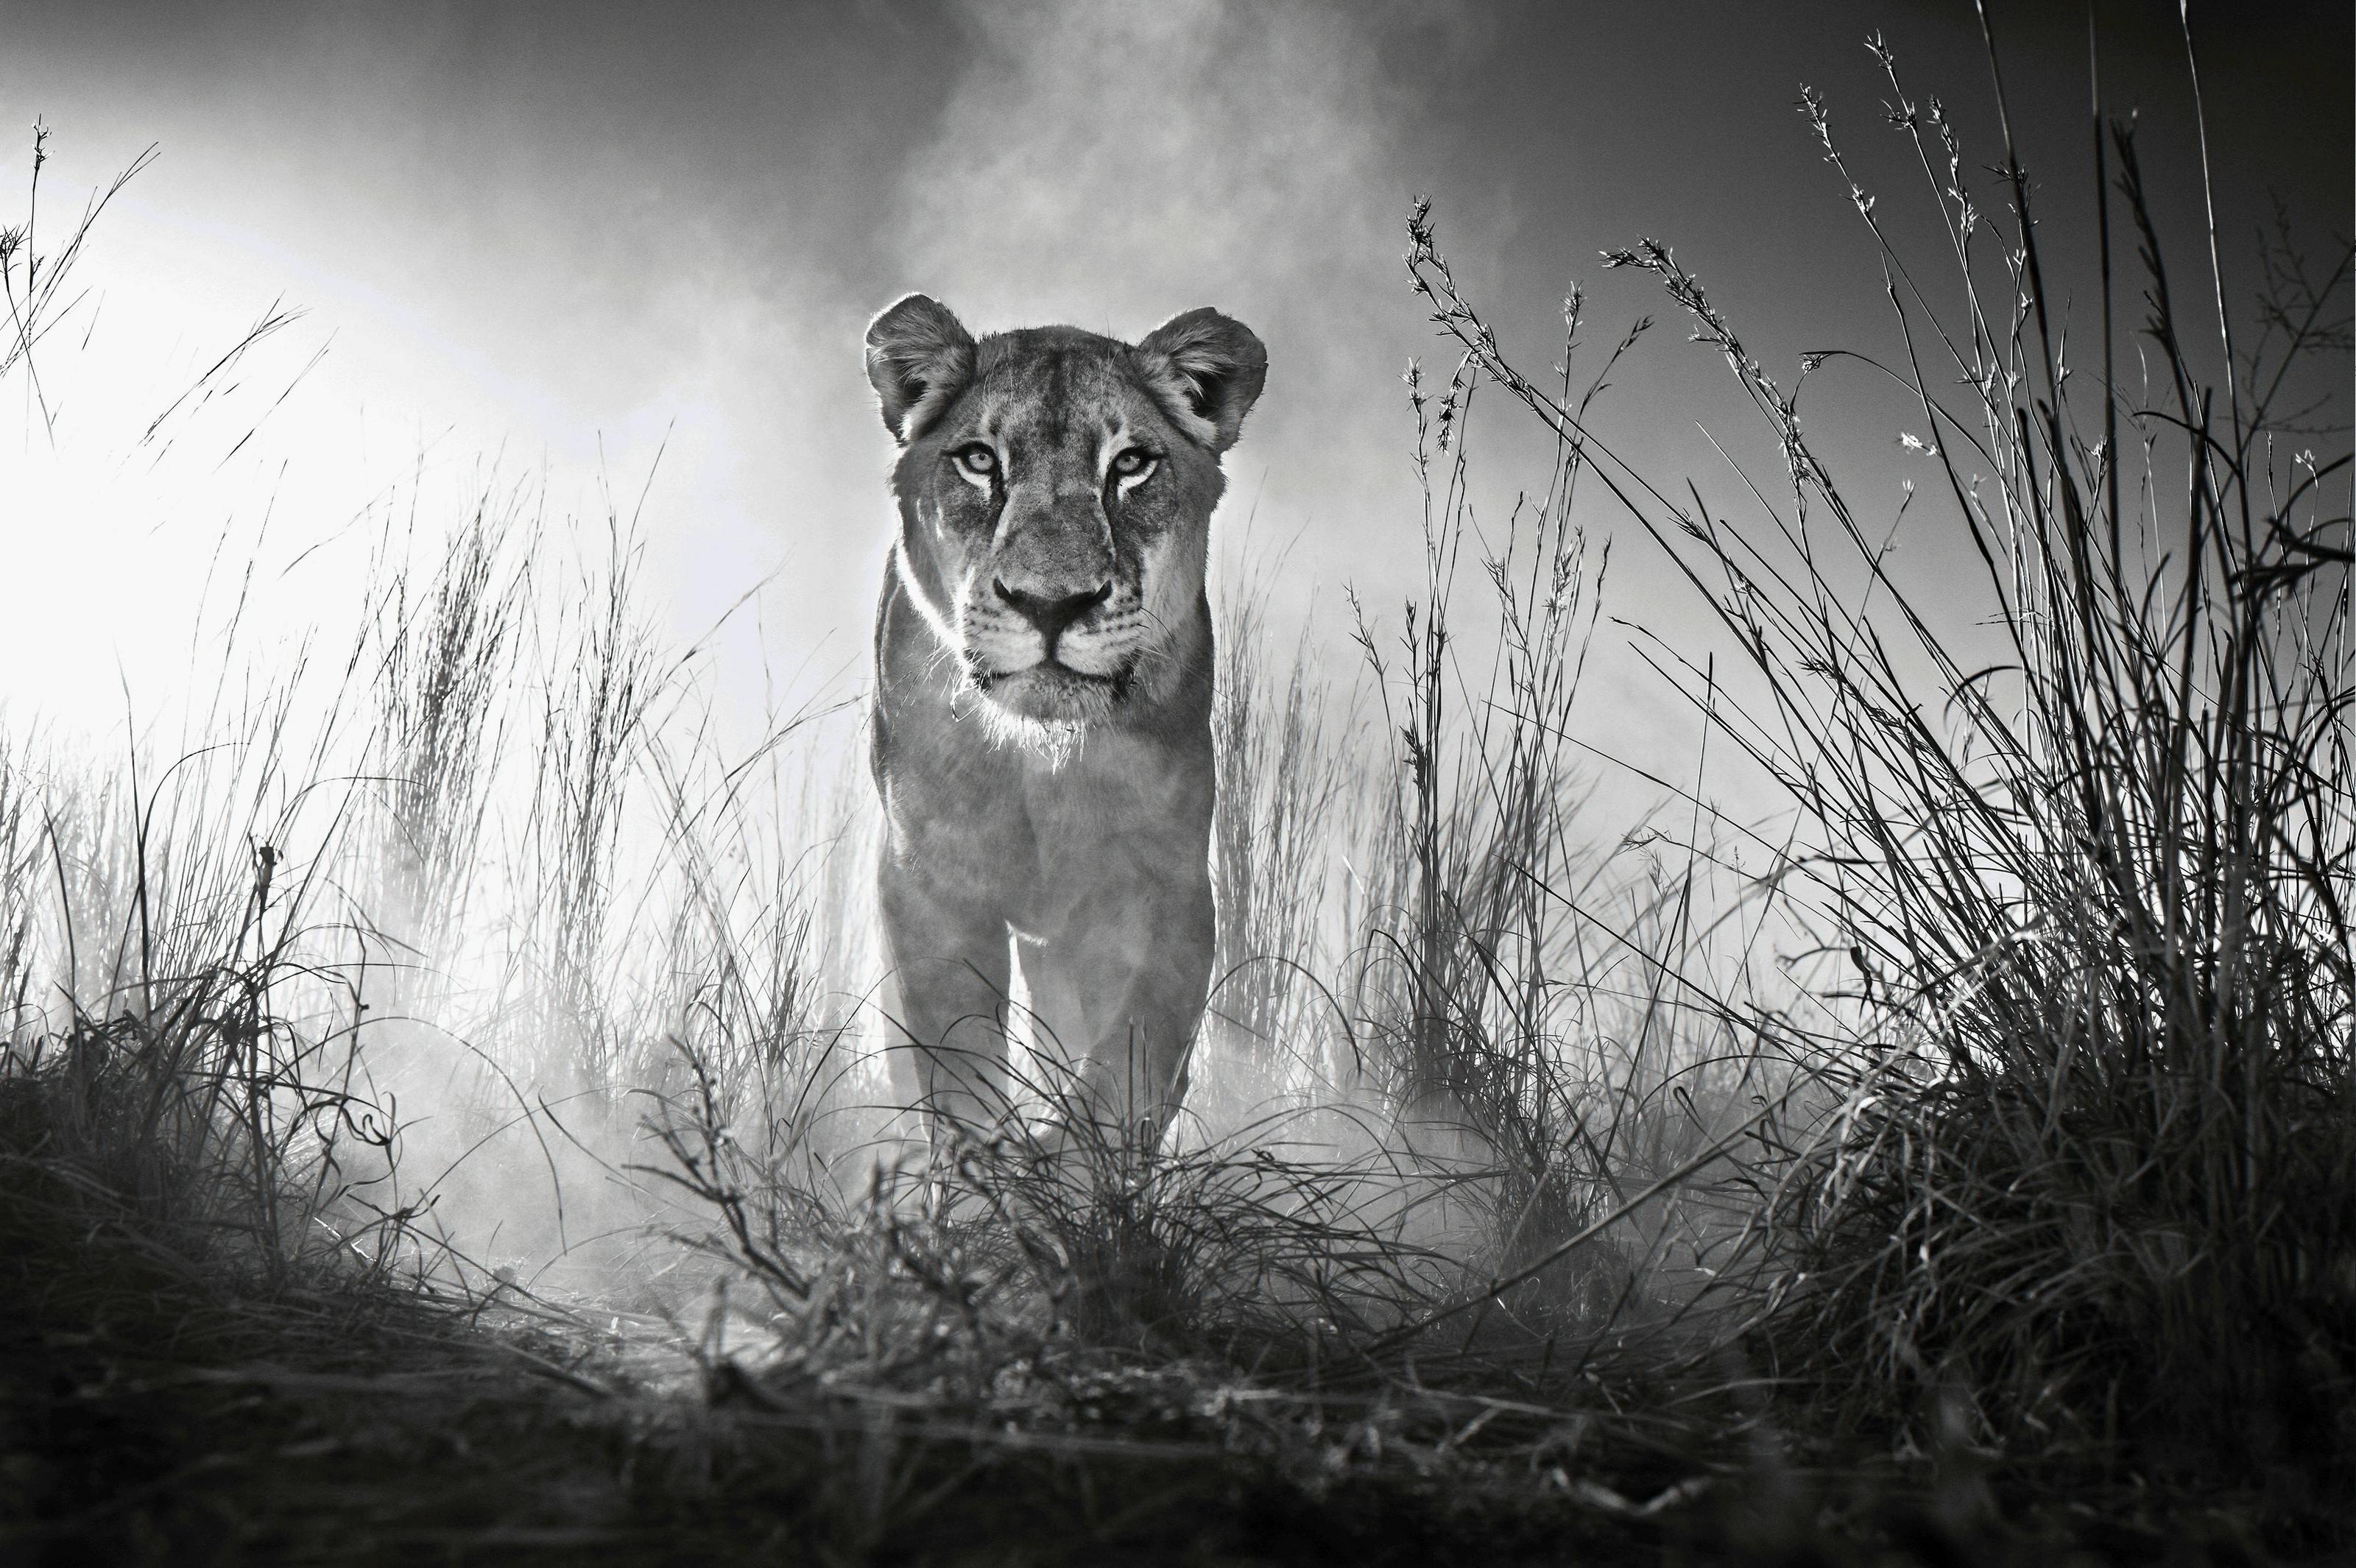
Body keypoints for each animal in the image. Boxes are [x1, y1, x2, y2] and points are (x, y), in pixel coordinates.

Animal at [862, 293, 1266, 1153]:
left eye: (1131, 464)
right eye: (979, 460)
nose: (1051, 604)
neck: (1040, 763)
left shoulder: (1165, 887)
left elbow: (1131, 1059)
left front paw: (1069, 1163)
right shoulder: (927, 882)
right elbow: (955, 1060)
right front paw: (983, 1170)